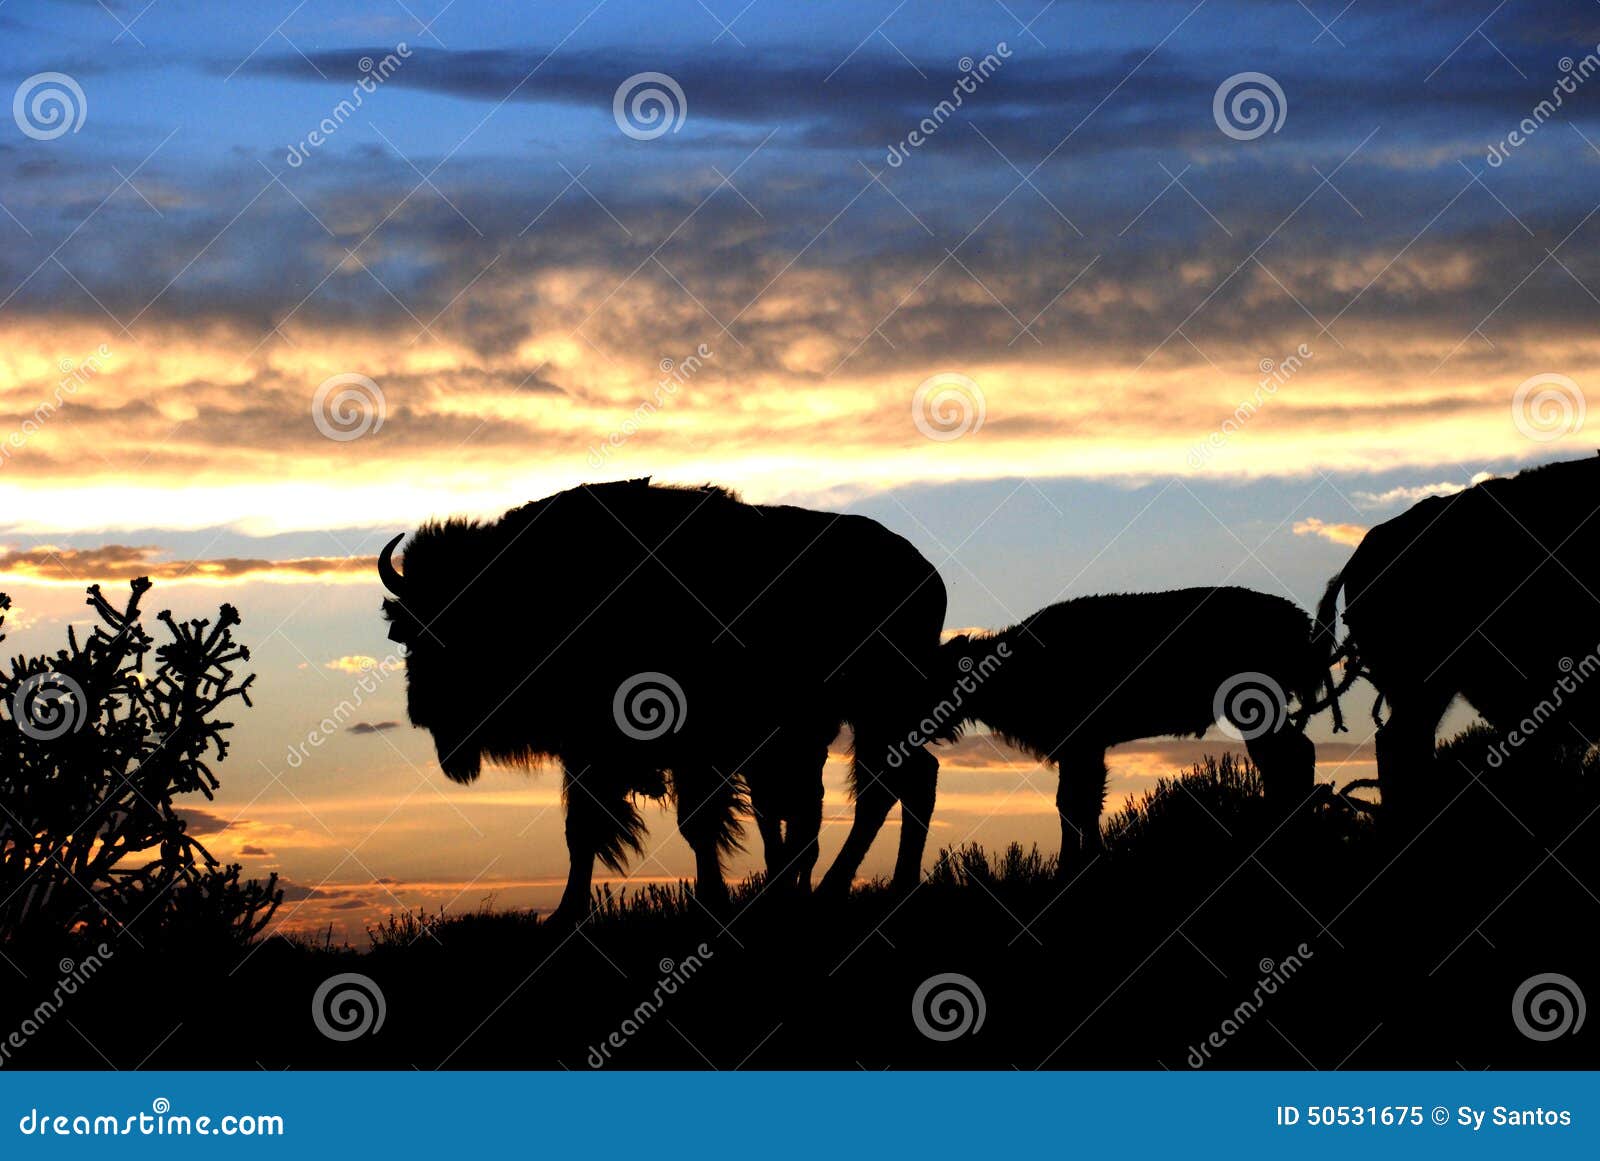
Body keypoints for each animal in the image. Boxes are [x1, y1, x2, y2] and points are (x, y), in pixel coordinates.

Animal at [378, 480, 945, 924]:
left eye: (451, 628)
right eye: (409, 630)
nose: (421, 709)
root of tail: (926, 572)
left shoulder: (692, 749)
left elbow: (696, 823)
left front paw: (712, 902)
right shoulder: (587, 753)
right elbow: (582, 830)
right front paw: (566, 914)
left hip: (881, 709)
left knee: (894, 785)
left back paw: (856, 889)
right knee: (894, 784)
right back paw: (863, 888)